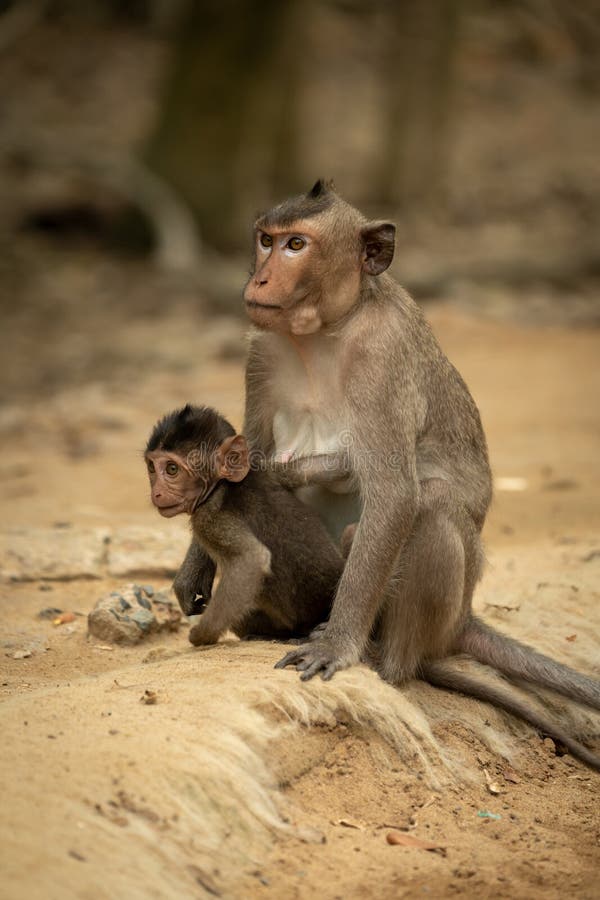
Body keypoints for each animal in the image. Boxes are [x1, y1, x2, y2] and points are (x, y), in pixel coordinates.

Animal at [145, 404, 345, 646]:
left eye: (172, 469)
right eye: (151, 468)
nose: (156, 492)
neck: (221, 485)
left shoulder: (208, 518)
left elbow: (252, 559)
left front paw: (200, 635)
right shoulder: (270, 468)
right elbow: (334, 466)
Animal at [173, 181, 600, 769]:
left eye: (296, 245)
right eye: (266, 240)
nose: (259, 279)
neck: (325, 330)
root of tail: (463, 619)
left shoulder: (383, 356)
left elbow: (397, 494)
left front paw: (337, 645)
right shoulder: (261, 350)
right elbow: (242, 456)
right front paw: (194, 571)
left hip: (444, 606)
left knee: (431, 507)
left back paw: (385, 660)